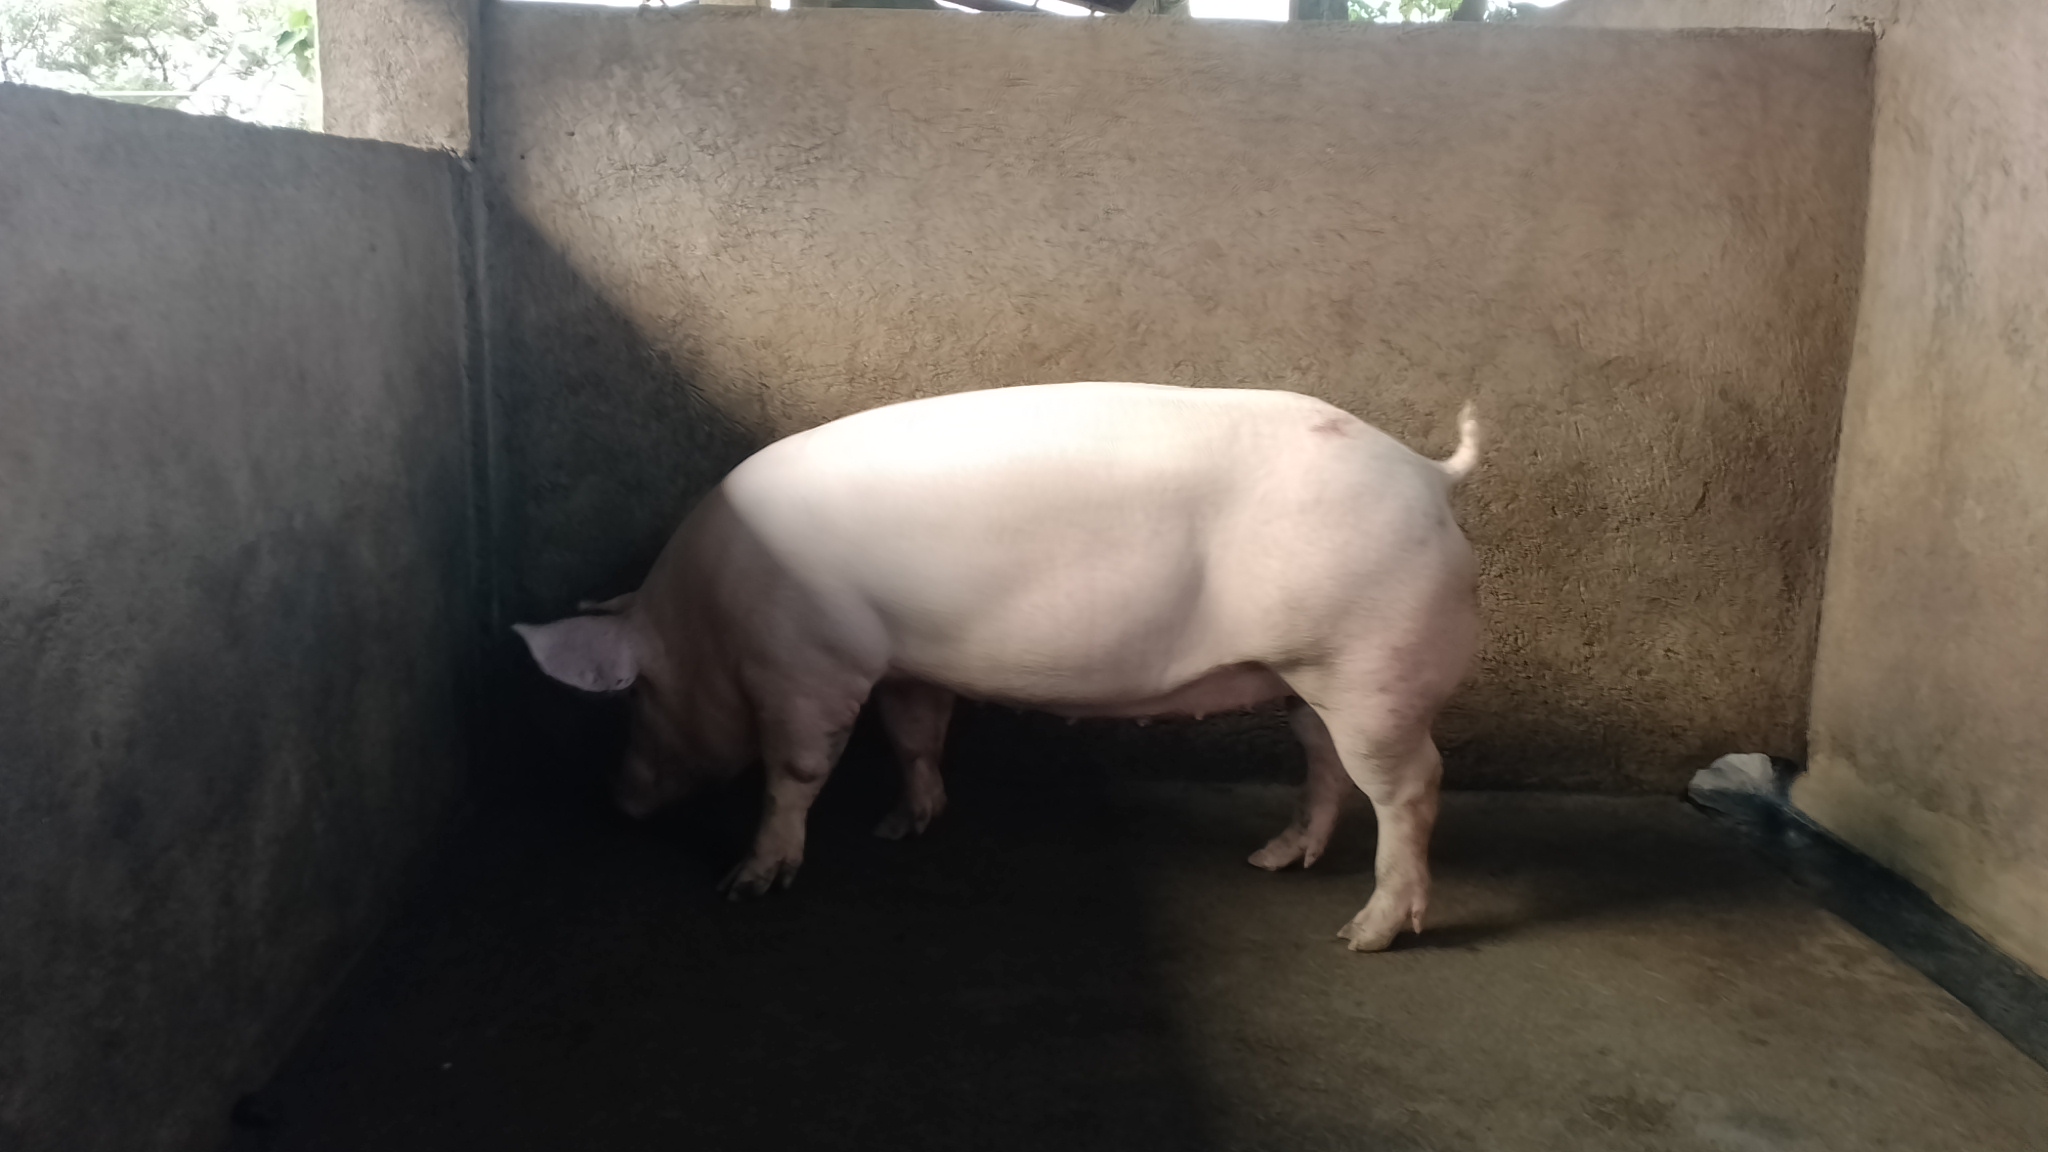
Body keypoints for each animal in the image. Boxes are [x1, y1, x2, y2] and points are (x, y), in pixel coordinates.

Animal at [514, 382, 1480, 952]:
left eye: (637, 698)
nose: (613, 799)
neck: (712, 619)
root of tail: (1431, 475)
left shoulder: (807, 667)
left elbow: (797, 772)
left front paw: (746, 886)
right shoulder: (905, 666)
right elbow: (915, 737)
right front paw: (900, 829)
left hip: (1372, 664)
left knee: (1413, 783)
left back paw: (1362, 934)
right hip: (1318, 675)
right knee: (1324, 764)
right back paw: (1273, 861)